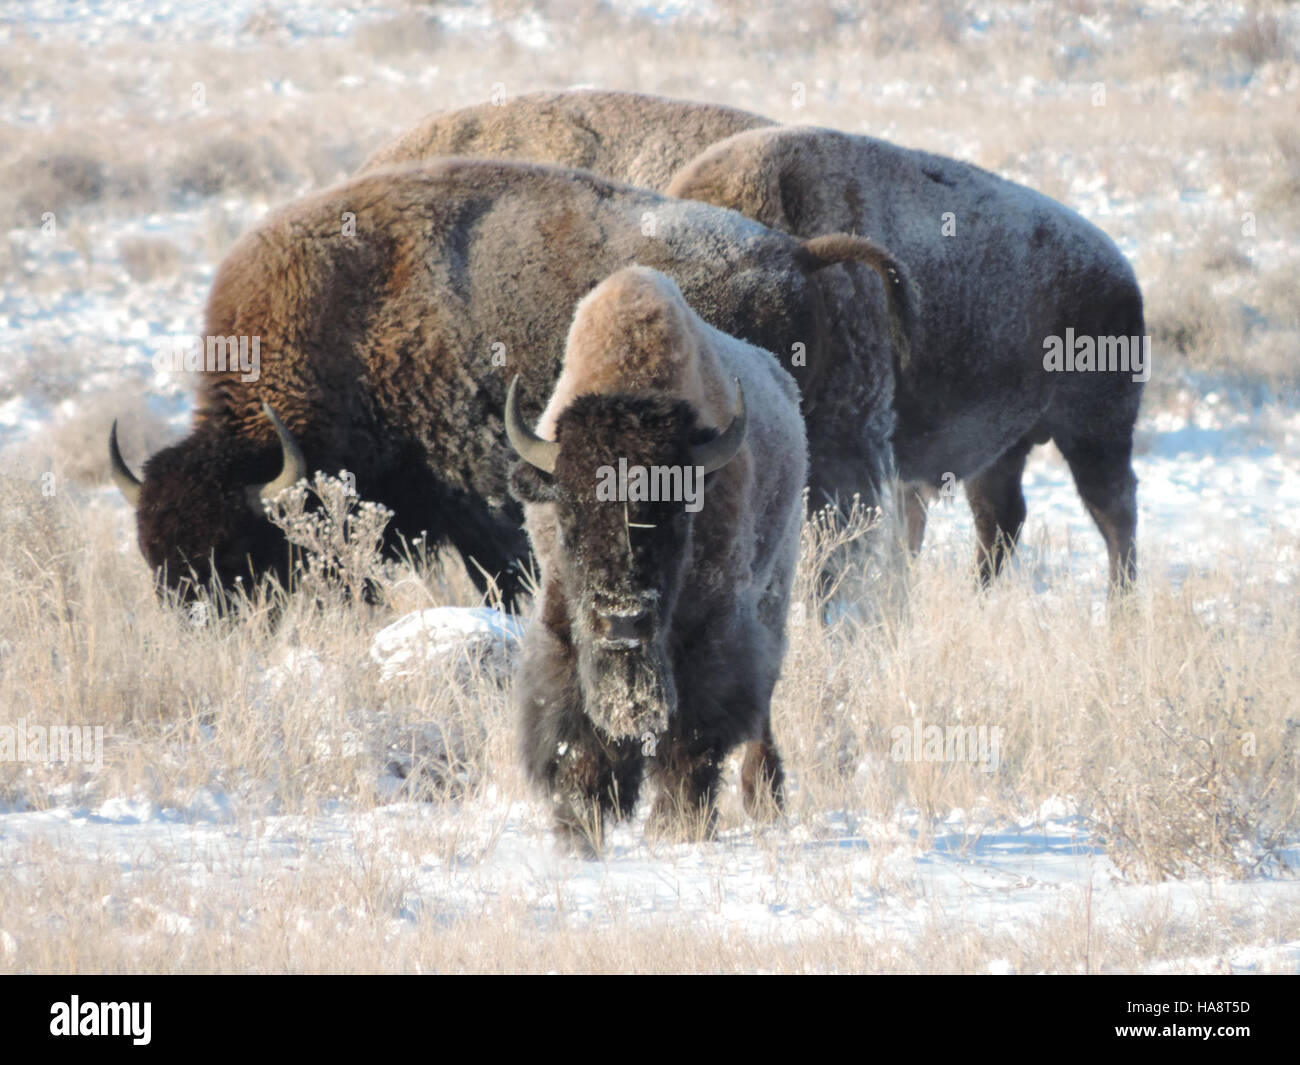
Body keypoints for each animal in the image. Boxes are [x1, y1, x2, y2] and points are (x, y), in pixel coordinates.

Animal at [507, 266, 806, 847]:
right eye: (568, 515)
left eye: (675, 514)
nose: (623, 622)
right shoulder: (562, 628)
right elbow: (576, 731)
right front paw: (581, 824)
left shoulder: (708, 633)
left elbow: (692, 733)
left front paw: (677, 824)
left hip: (774, 590)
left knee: (763, 700)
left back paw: (766, 798)